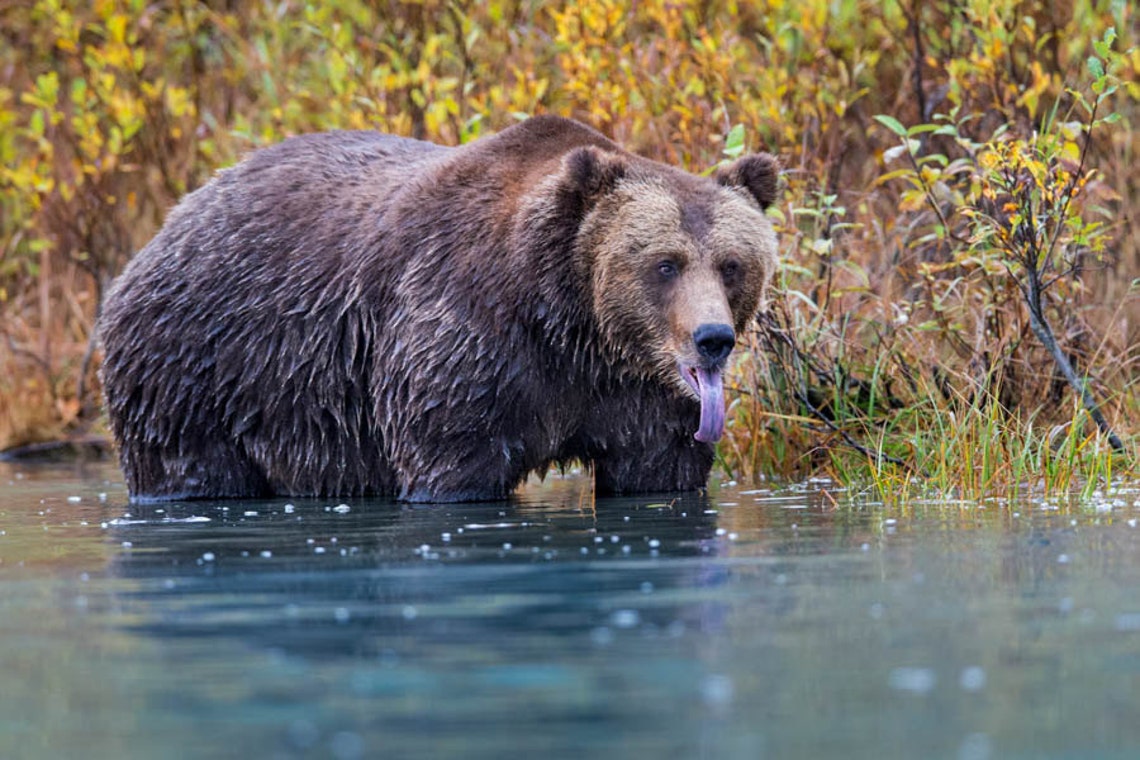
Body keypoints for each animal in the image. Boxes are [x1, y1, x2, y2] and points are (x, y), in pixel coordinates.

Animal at [99, 115, 779, 503]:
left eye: (731, 265)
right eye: (665, 263)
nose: (712, 338)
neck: (569, 321)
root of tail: (170, 223)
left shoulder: (638, 393)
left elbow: (658, 467)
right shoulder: (464, 333)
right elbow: (452, 457)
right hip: (202, 367)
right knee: (189, 465)